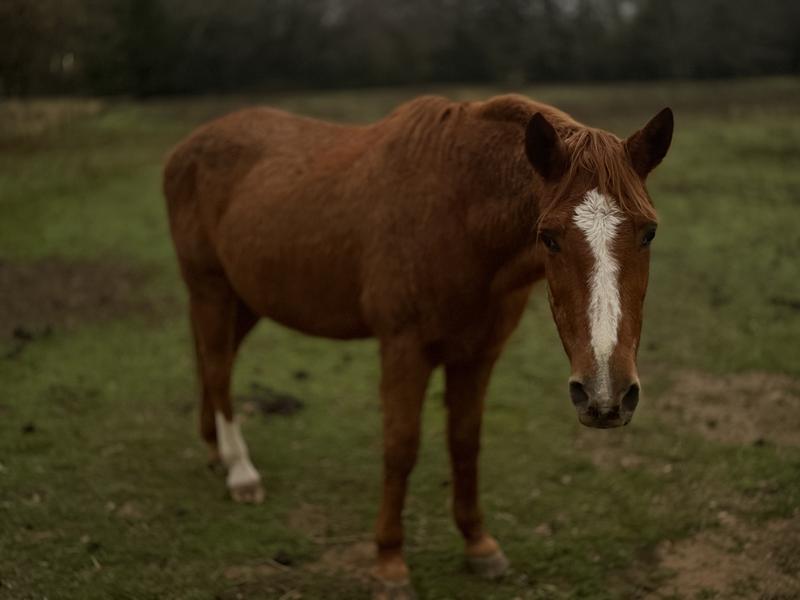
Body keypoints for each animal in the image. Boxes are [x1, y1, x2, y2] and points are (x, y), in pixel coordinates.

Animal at [163, 93, 672, 598]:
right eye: (548, 237)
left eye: (649, 232)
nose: (605, 395)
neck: (456, 214)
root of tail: (186, 148)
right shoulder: (403, 350)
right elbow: (401, 448)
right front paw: (390, 563)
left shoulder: (478, 354)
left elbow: (465, 443)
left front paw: (479, 544)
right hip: (210, 289)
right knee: (217, 369)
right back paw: (241, 472)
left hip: (245, 299)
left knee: (213, 361)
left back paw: (216, 453)